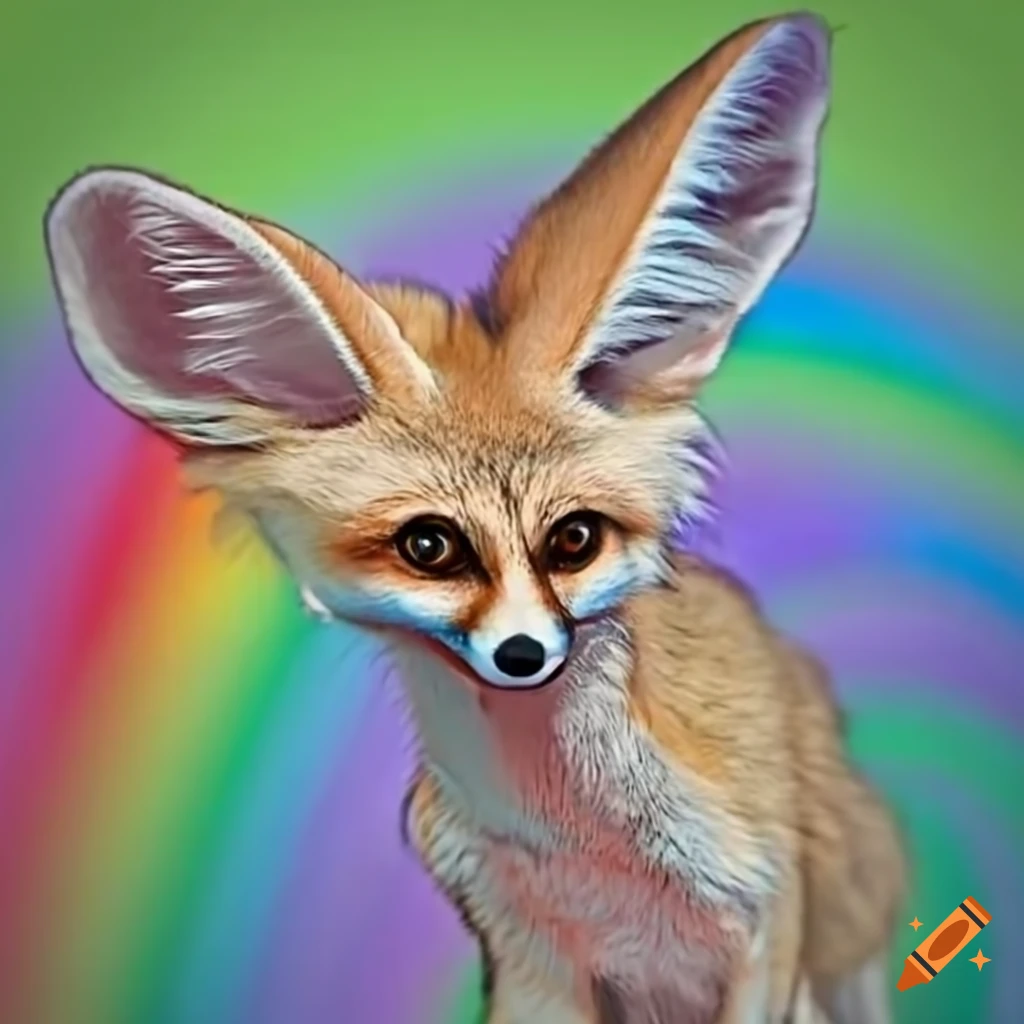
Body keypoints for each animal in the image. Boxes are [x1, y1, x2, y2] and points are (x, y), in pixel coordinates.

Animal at [43, 10, 906, 1024]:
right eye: (432, 546)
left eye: (573, 540)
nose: (525, 653)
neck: (589, 853)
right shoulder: (527, 952)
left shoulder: (765, 929)